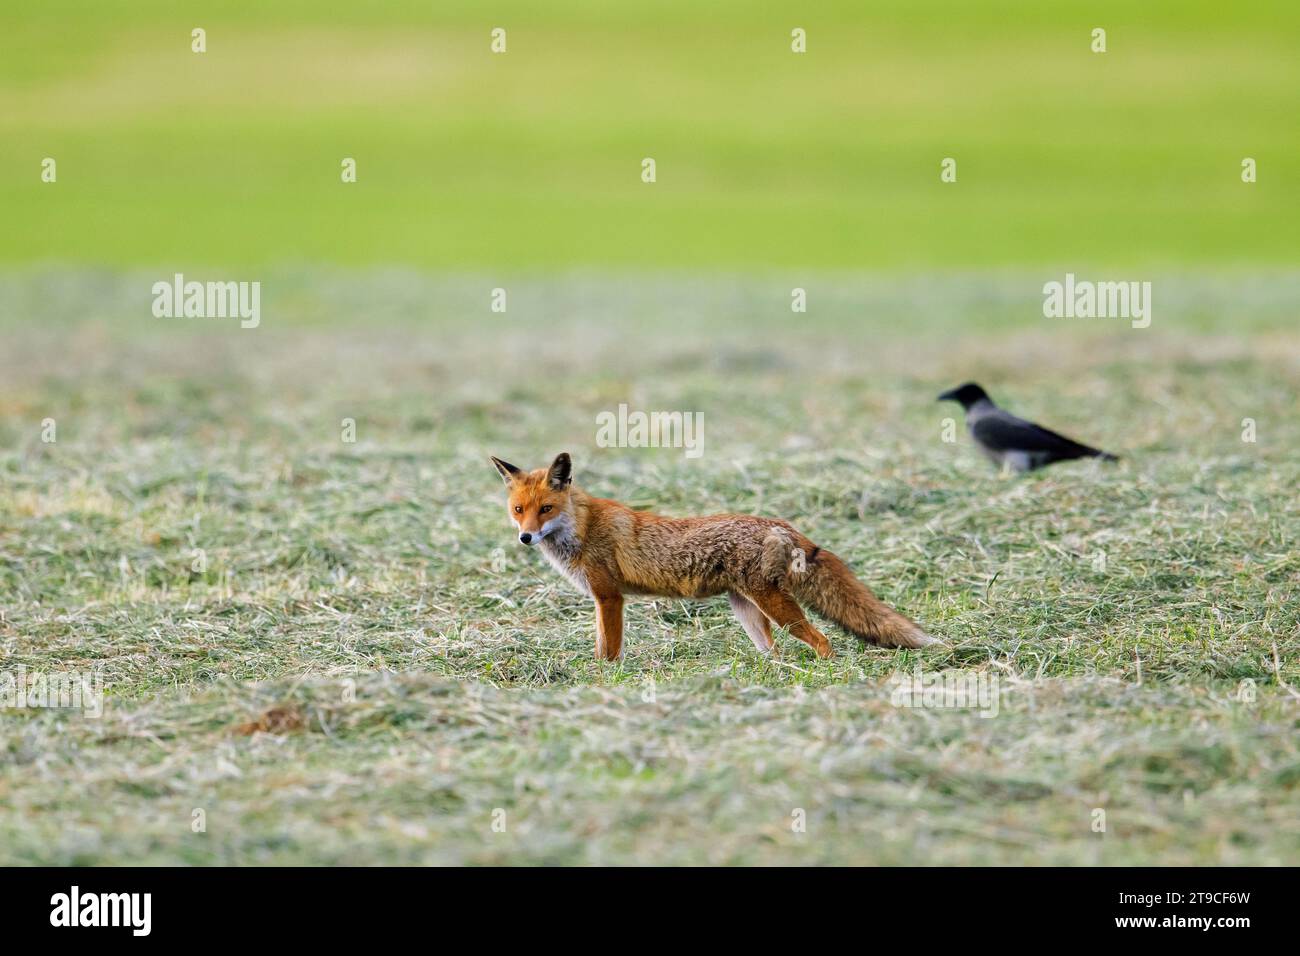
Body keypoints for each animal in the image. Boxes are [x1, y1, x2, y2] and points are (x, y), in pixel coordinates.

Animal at [490, 452, 937, 661]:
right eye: (519, 509)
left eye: (546, 509)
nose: (525, 537)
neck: (580, 529)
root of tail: (776, 522)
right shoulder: (604, 600)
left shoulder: (610, 598)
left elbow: (609, 650)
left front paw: (604, 679)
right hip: (748, 610)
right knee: (774, 652)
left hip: (776, 606)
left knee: (823, 640)